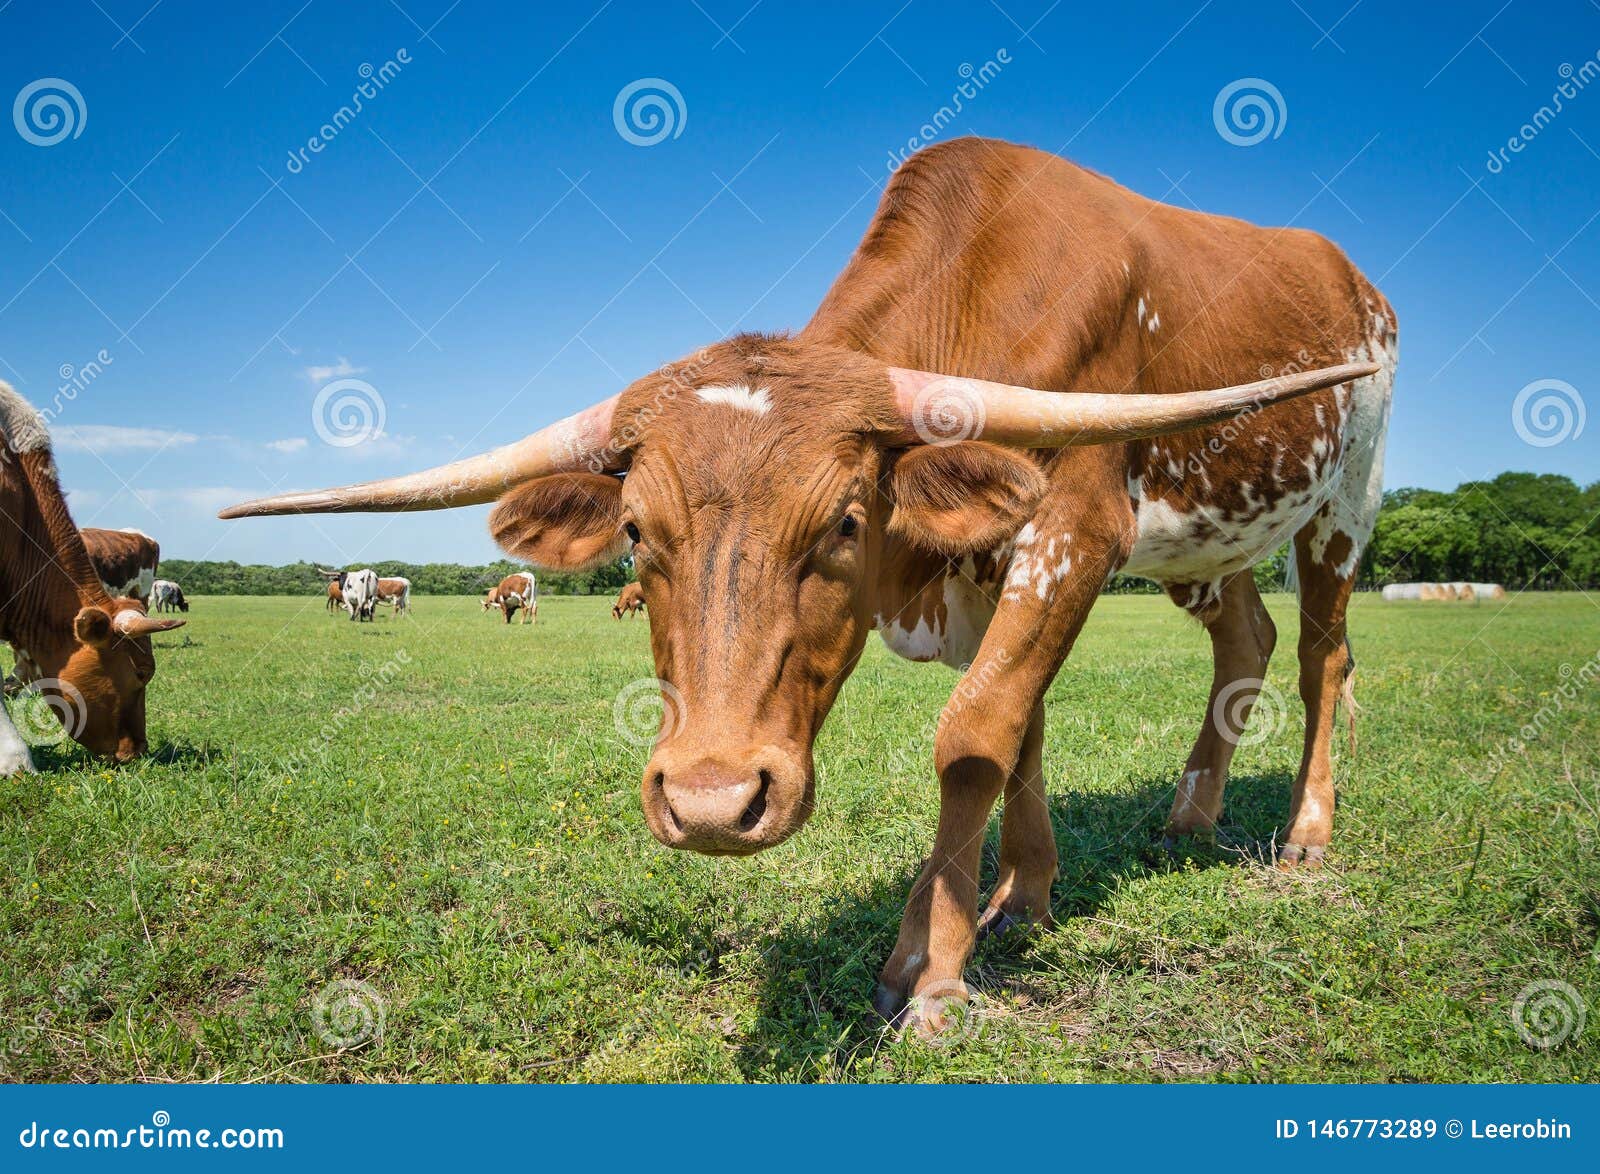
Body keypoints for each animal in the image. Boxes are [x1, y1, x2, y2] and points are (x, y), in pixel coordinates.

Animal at [220, 137, 1394, 1033]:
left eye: (843, 522)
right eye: (636, 532)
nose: (709, 800)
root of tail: (1353, 276)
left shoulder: (1072, 532)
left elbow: (976, 733)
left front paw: (931, 969)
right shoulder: (1002, 563)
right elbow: (1022, 733)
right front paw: (1024, 896)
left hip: (1344, 501)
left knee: (1320, 653)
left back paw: (1306, 833)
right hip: (1208, 546)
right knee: (1243, 642)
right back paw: (1191, 816)